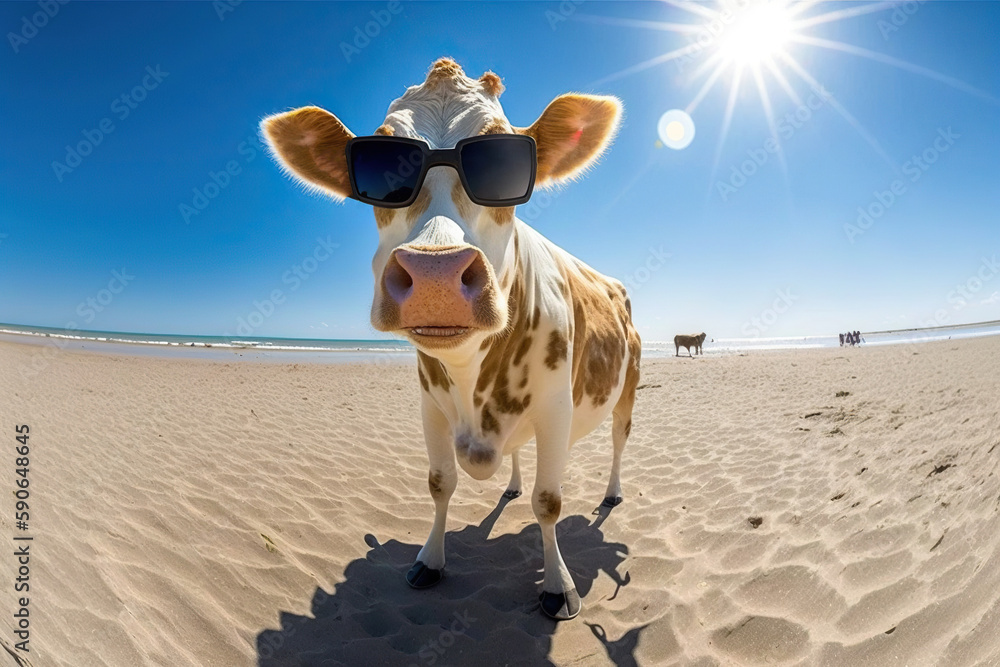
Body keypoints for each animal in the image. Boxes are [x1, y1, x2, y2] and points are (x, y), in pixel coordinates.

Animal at [261, 58, 640, 621]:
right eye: (385, 165)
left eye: (504, 159)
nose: (435, 275)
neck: (471, 379)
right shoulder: (430, 406)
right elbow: (440, 484)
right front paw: (430, 560)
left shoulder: (556, 410)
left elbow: (549, 502)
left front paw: (558, 584)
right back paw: (510, 485)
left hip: (628, 388)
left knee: (618, 440)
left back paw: (611, 494)